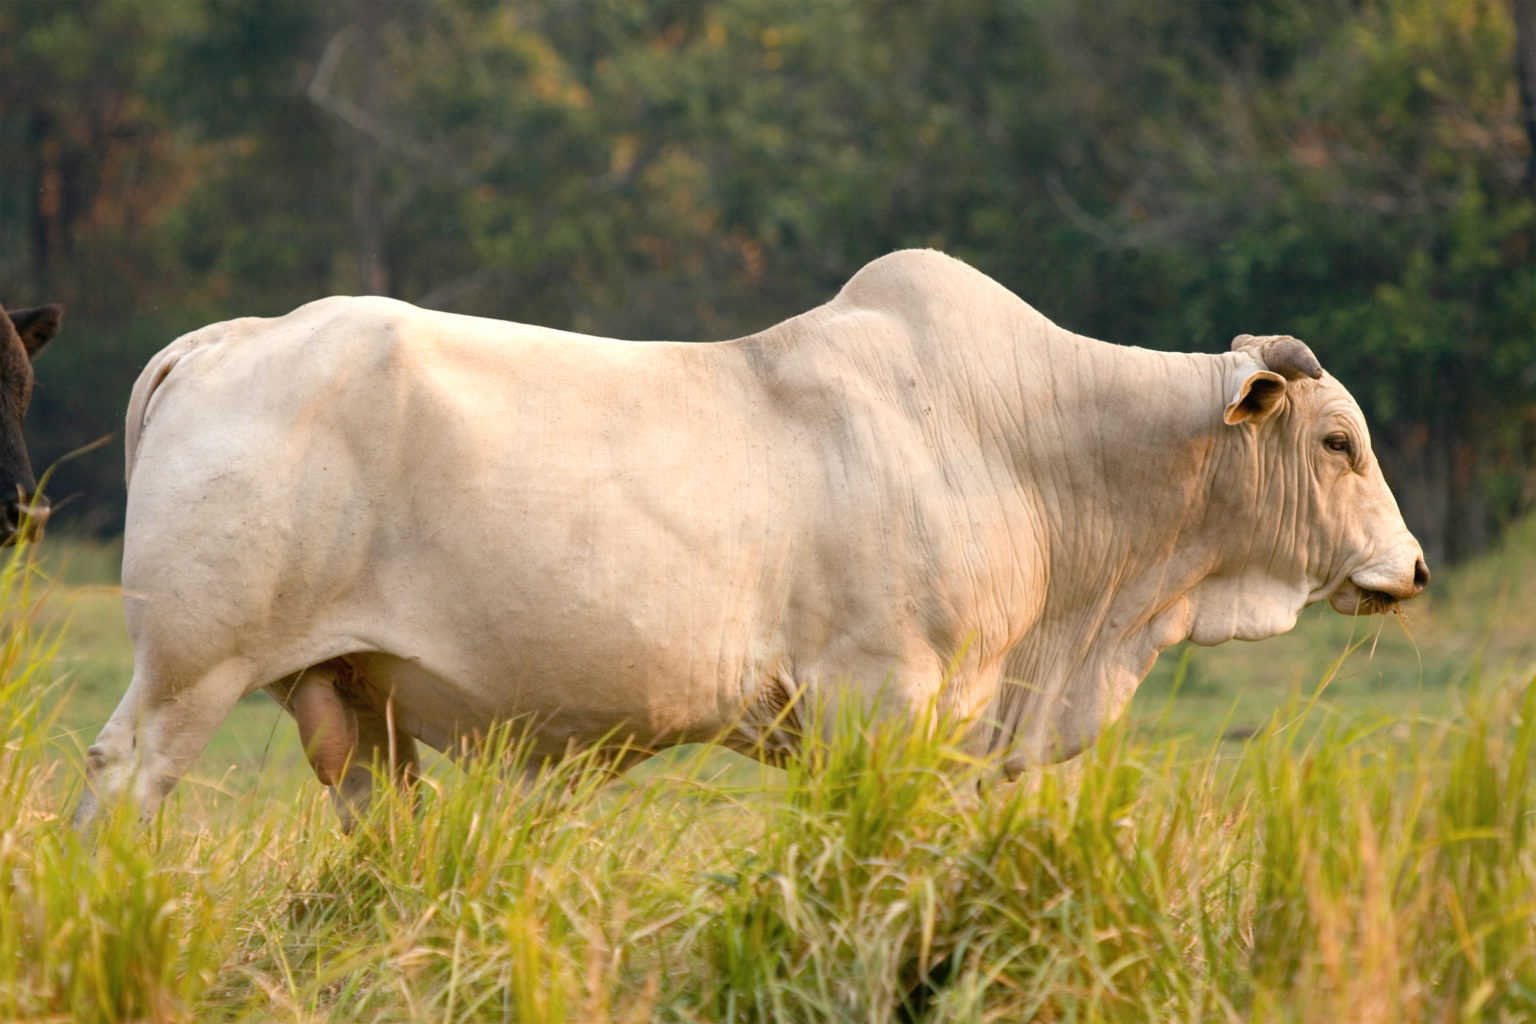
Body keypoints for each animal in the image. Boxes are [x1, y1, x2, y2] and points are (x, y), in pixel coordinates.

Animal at [74, 250, 1426, 829]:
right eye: (1338, 441)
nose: (1412, 568)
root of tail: (224, 338)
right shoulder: (881, 700)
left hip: (350, 704)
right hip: (192, 667)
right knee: (123, 779)